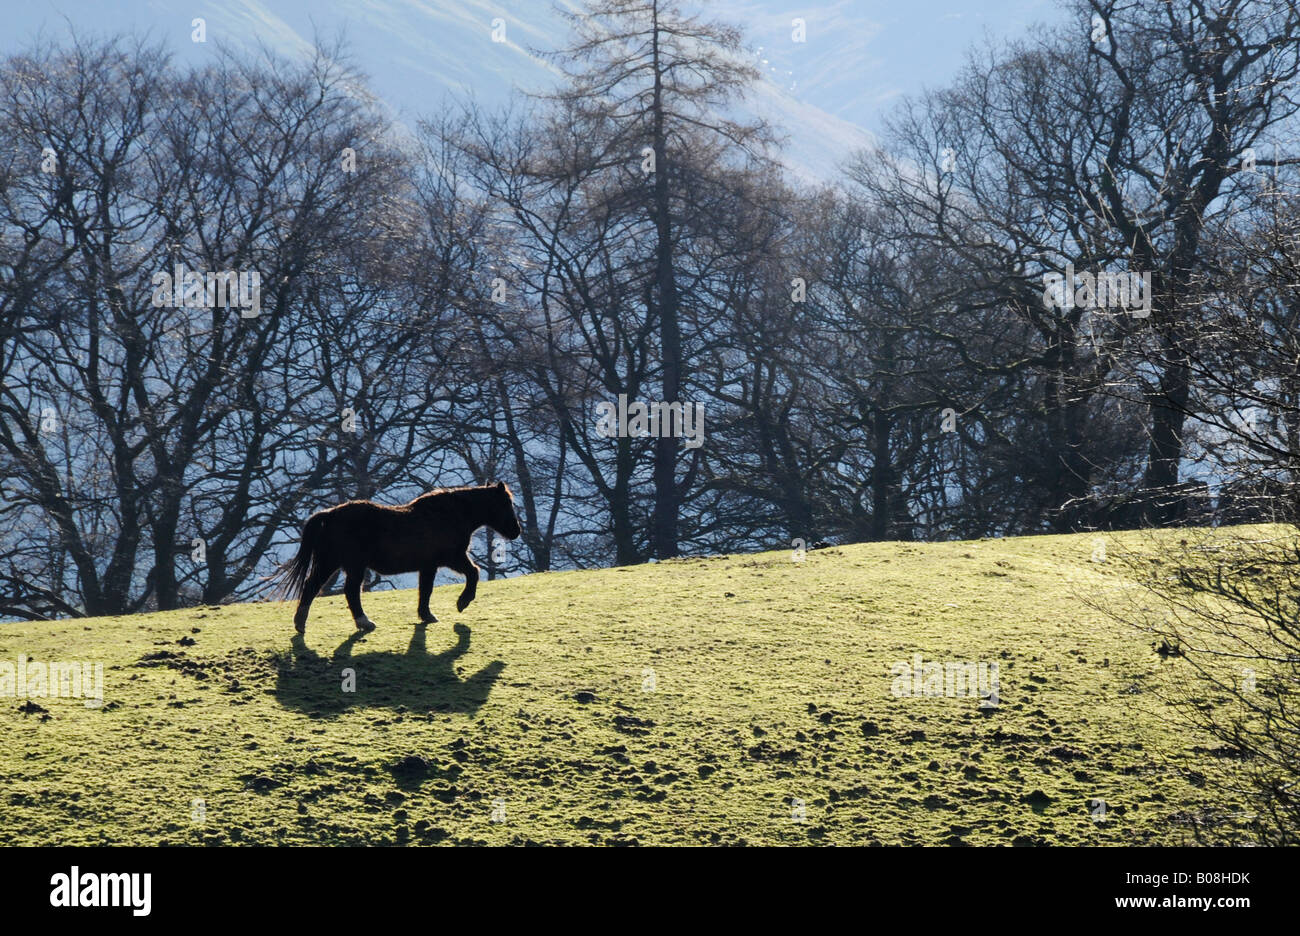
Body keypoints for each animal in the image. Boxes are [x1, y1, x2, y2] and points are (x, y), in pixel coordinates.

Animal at [279, 481, 522, 634]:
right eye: (506, 503)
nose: (516, 530)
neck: (451, 514)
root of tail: (329, 515)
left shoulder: (429, 566)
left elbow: (426, 591)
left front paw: (426, 615)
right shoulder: (453, 557)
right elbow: (474, 572)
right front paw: (463, 602)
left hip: (331, 563)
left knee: (312, 586)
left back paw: (300, 624)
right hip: (352, 566)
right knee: (349, 591)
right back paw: (364, 623)